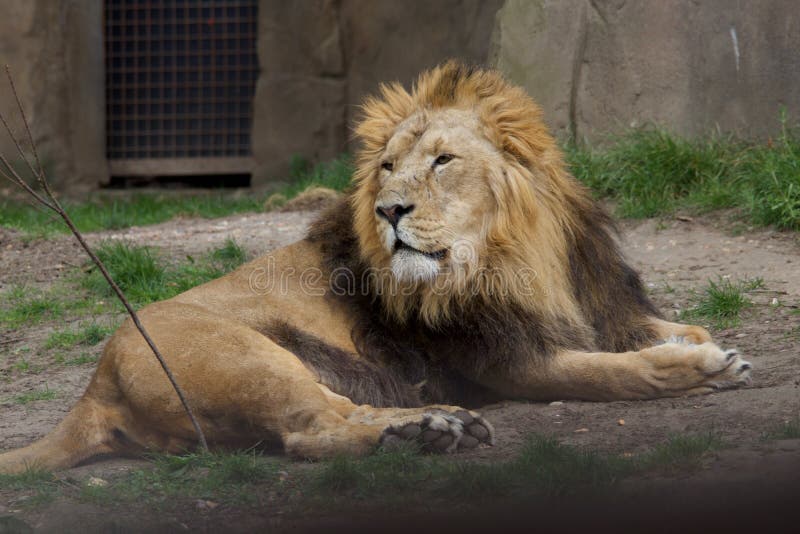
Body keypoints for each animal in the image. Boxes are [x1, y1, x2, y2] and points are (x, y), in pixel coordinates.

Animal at [0, 62, 752, 473]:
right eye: (387, 167)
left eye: (443, 160)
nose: (390, 210)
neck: (517, 259)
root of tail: (93, 387)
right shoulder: (511, 362)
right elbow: (612, 371)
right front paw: (701, 367)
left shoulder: (593, 307)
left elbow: (651, 330)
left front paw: (701, 344)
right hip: (249, 356)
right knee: (312, 431)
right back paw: (423, 432)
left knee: (336, 415)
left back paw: (434, 427)